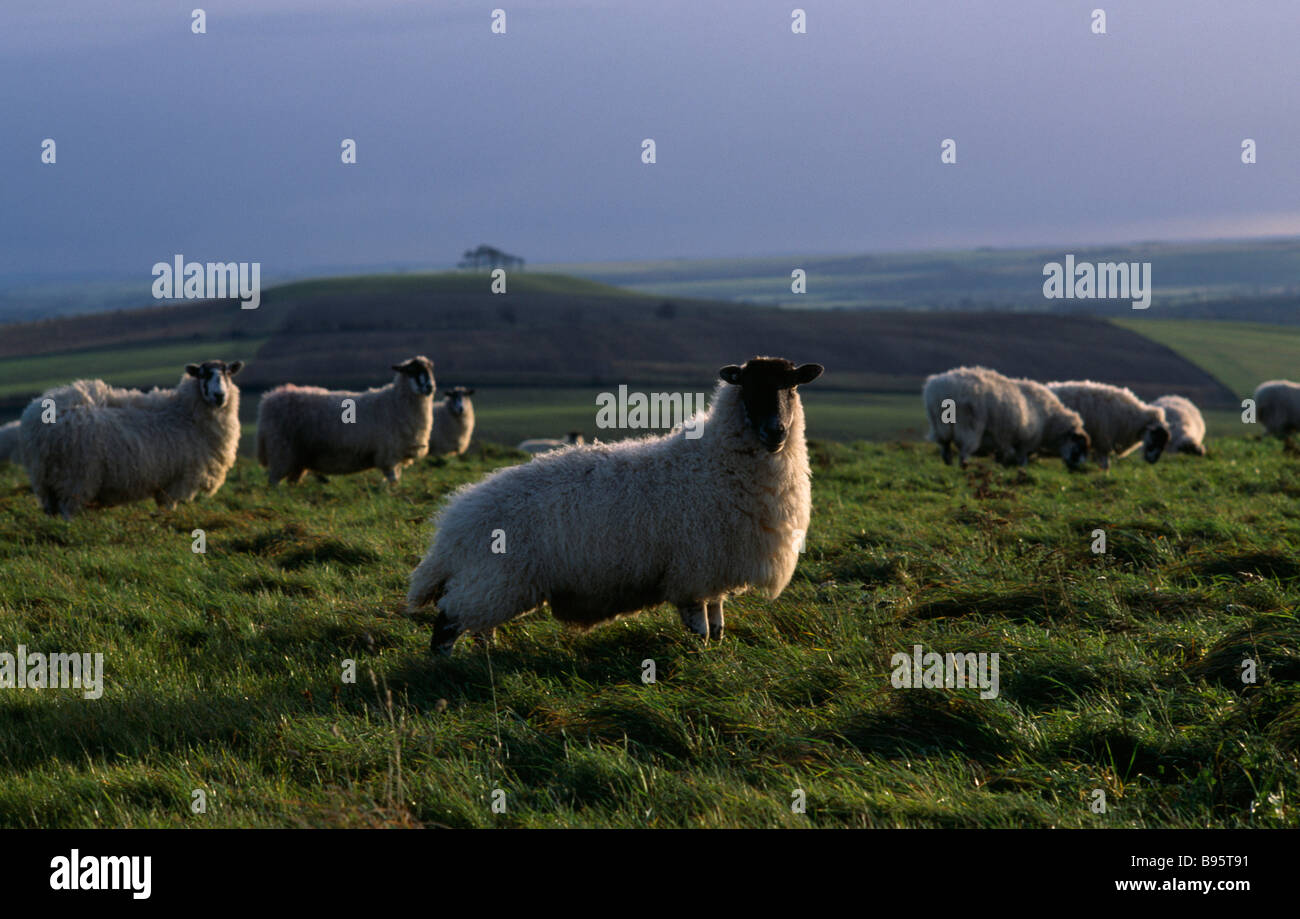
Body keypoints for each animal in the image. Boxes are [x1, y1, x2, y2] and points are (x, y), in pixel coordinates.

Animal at [19, 361, 244, 519]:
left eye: (227, 373)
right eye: (203, 375)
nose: (219, 395)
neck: (185, 413)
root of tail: (34, 420)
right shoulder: (176, 481)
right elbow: (168, 509)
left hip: (46, 480)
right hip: (75, 476)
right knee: (67, 510)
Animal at [256, 356, 435, 485]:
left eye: (430, 370)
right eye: (412, 370)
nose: (430, 387)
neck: (395, 401)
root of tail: (269, 398)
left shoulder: (396, 452)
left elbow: (395, 477)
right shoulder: (388, 453)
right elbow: (393, 479)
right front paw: (392, 495)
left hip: (298, 456)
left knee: (291, 480)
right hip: (281, 449)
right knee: (273, 480)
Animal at [408, 356, 824, 654]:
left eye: (791, 385)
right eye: (750, 387)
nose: (776, 431)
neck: (716, 460)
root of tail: (454, 524)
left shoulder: (715, 568)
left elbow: (718, 622)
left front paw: (717, 654)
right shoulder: (691, 570)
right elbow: (700, 628)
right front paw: (700, 657)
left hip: (494, 583)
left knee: (480, 626)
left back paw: (486, 660)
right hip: (494, 576)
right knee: (447, 624)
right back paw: (446, 670)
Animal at [923, 366, 1090, 469]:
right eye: (1079, 447)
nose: (1076, 469)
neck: (1050, 421)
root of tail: (941, 388)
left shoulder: (1002, 437)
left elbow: (1001, 454)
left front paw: (999, 466)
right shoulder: (1026, 440)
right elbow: (1022, 458)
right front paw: (1022, 469)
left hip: (939, 424)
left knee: (945, 446)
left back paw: (948, 464)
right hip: (969, 424)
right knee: (964, 448)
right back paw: (963, 466)